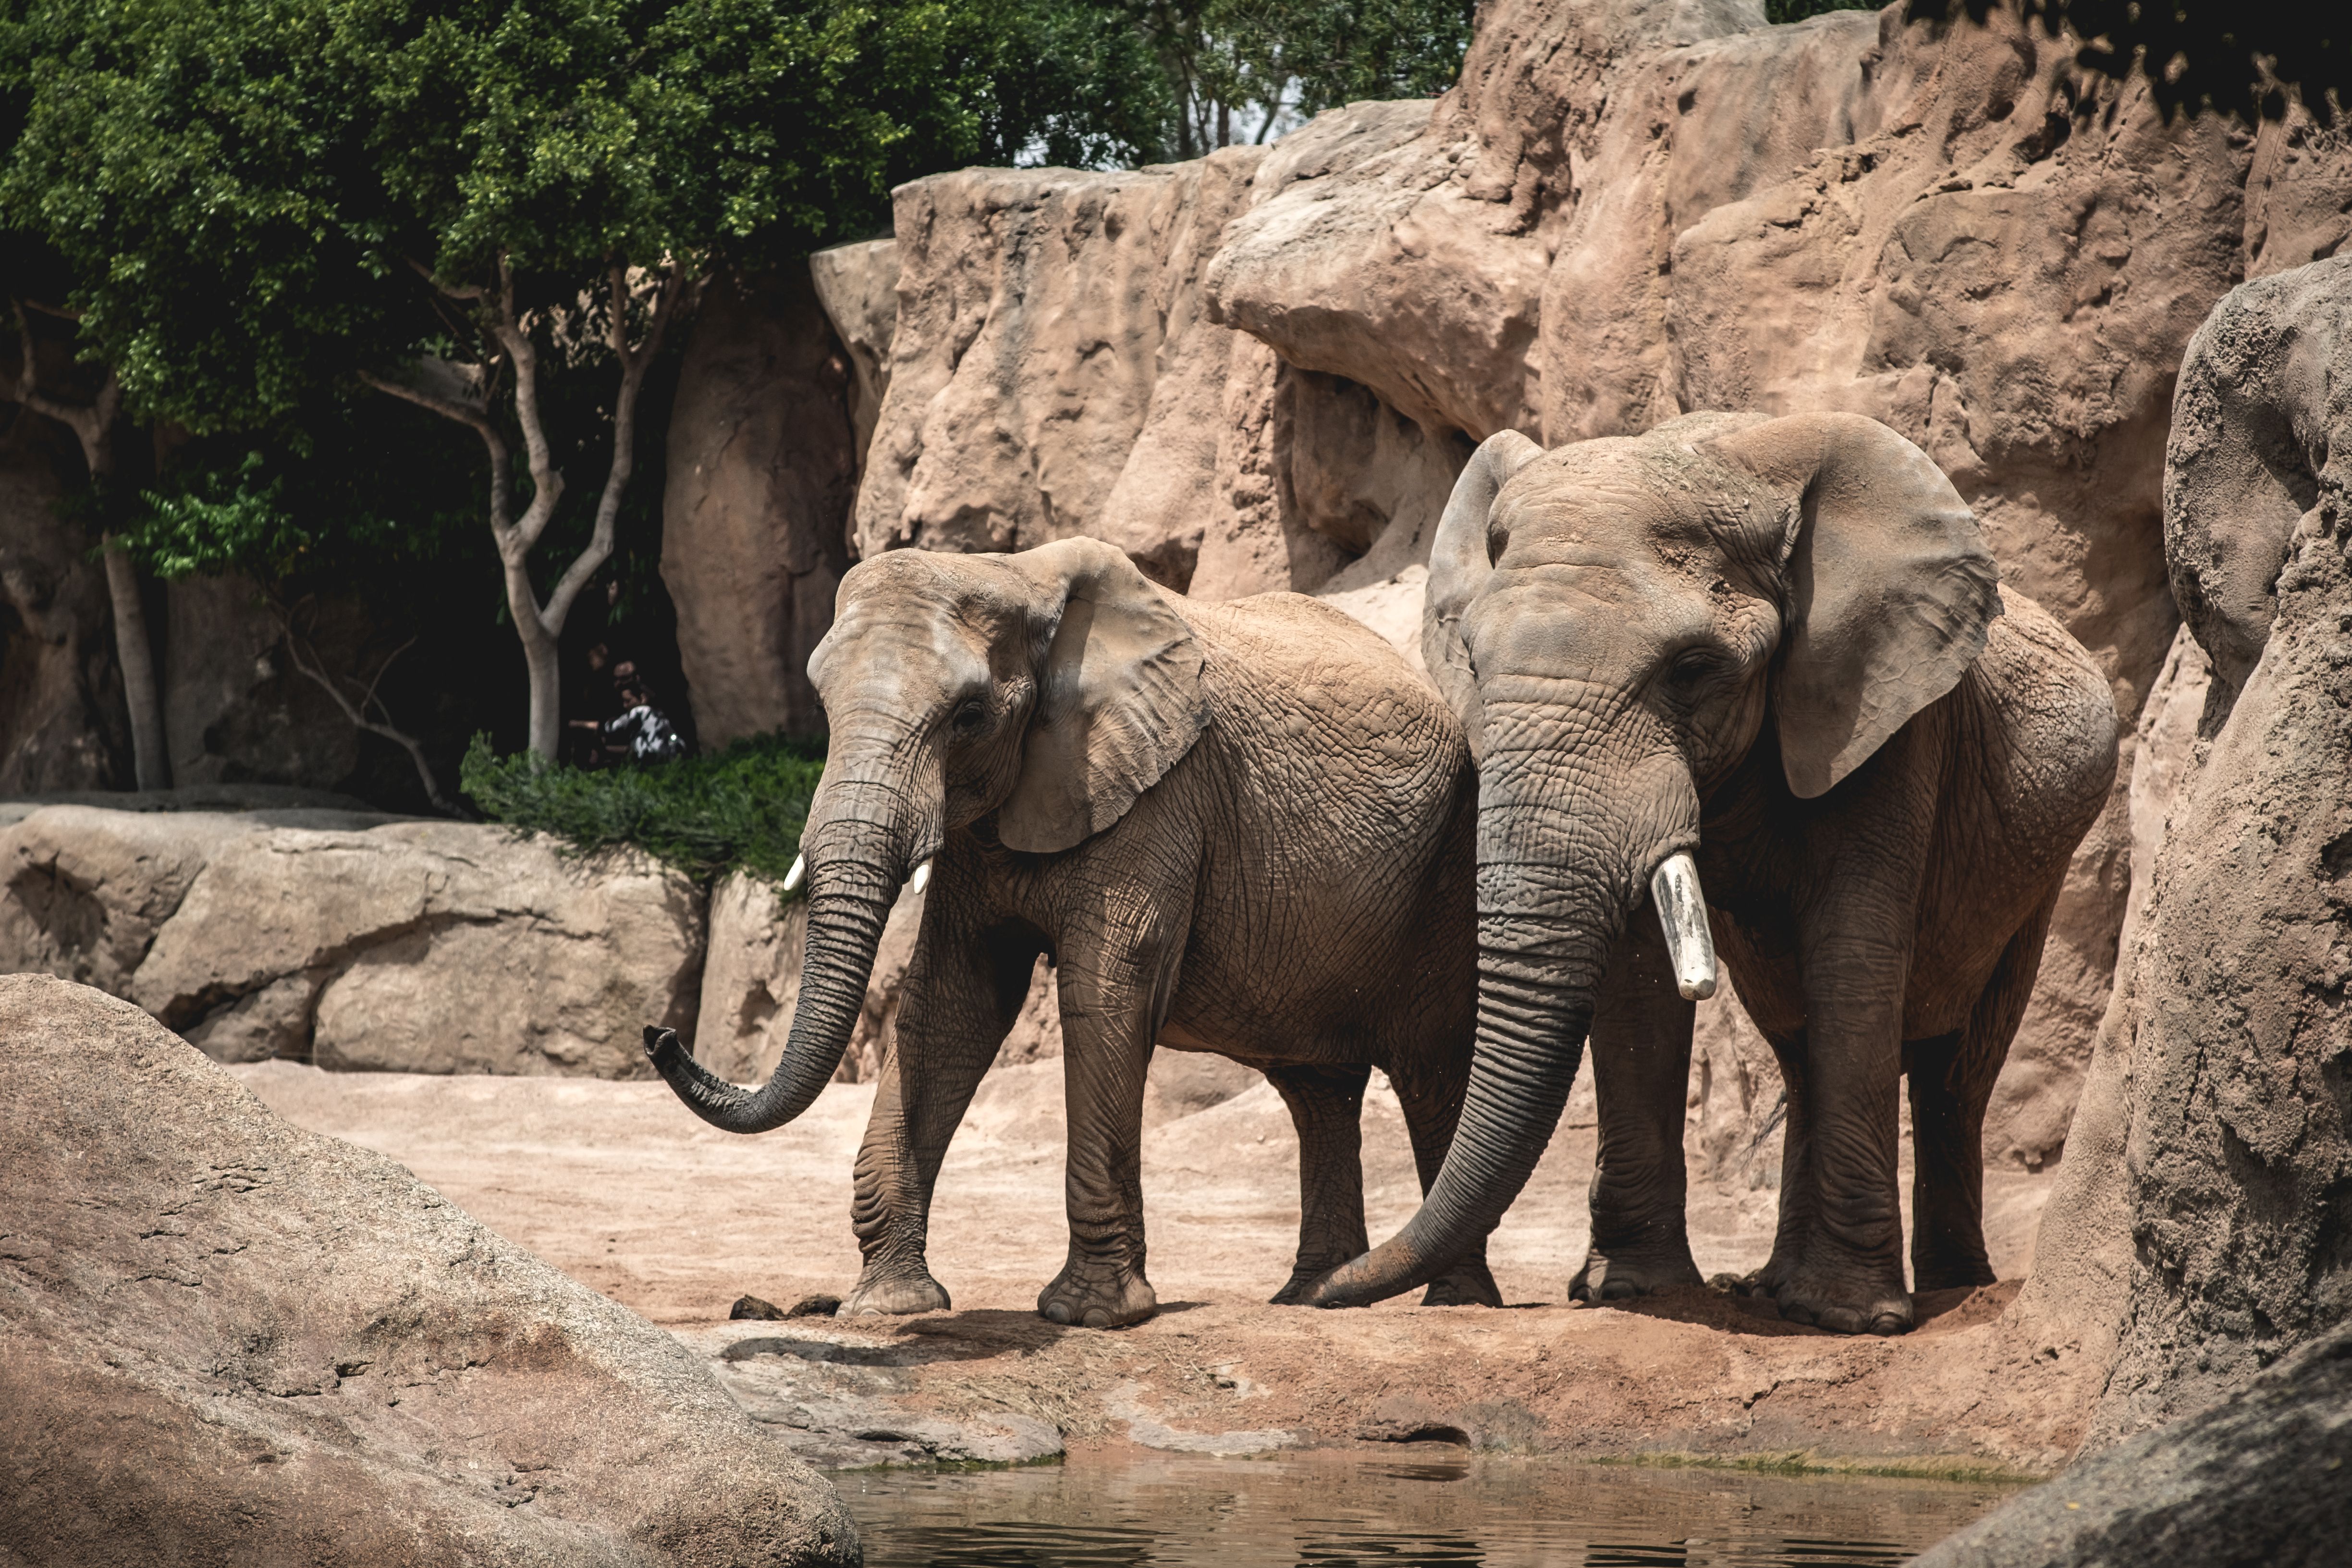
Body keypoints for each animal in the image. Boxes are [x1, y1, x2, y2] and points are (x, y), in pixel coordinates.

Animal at [645, 536, 1501, 1327]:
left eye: (968, 716)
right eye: (823, 708)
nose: (661, 1037)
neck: (1018, 575)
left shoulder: (1163, 792)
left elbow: (1103, 994)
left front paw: (1089, 1315)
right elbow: (955, 1002)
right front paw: (892, 1307)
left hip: (1447, 872)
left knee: (1428, 1073)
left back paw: (1452, 1303)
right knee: (1316, 1090)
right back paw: (1311, 1299)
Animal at [1305, 411, 2119, 1335]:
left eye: (1692, 670)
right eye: (1471, 662)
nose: (1324, 1291)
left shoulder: (1884, 718)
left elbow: (1853, 959)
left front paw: (1853, 1318)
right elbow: (1637, 983)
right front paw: (1631, 1290)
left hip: (2041, 867)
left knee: (1958, 1065)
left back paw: (1945, 1285)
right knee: (1798, 1040)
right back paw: (1772, 1285)